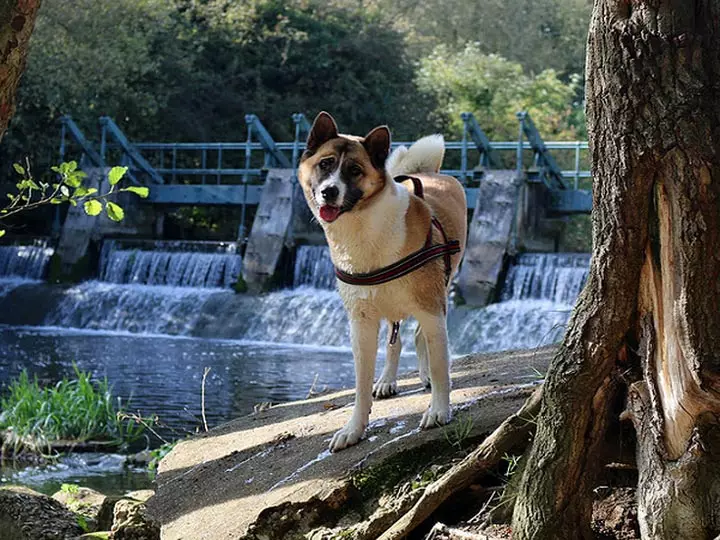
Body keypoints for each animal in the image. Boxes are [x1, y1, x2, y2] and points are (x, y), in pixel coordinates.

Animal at [296, 110, 466, 452]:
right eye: (325, 164)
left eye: (354, 170)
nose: (329, 191)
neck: (362, 226)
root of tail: (428, 173)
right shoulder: (361, 322)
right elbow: (360, 383)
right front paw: (354, 428)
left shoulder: (432, 309)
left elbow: (441, 365)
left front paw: (439, 410)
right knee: (396, 339)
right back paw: (387, 380)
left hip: (439, 291)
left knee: (420, 339)